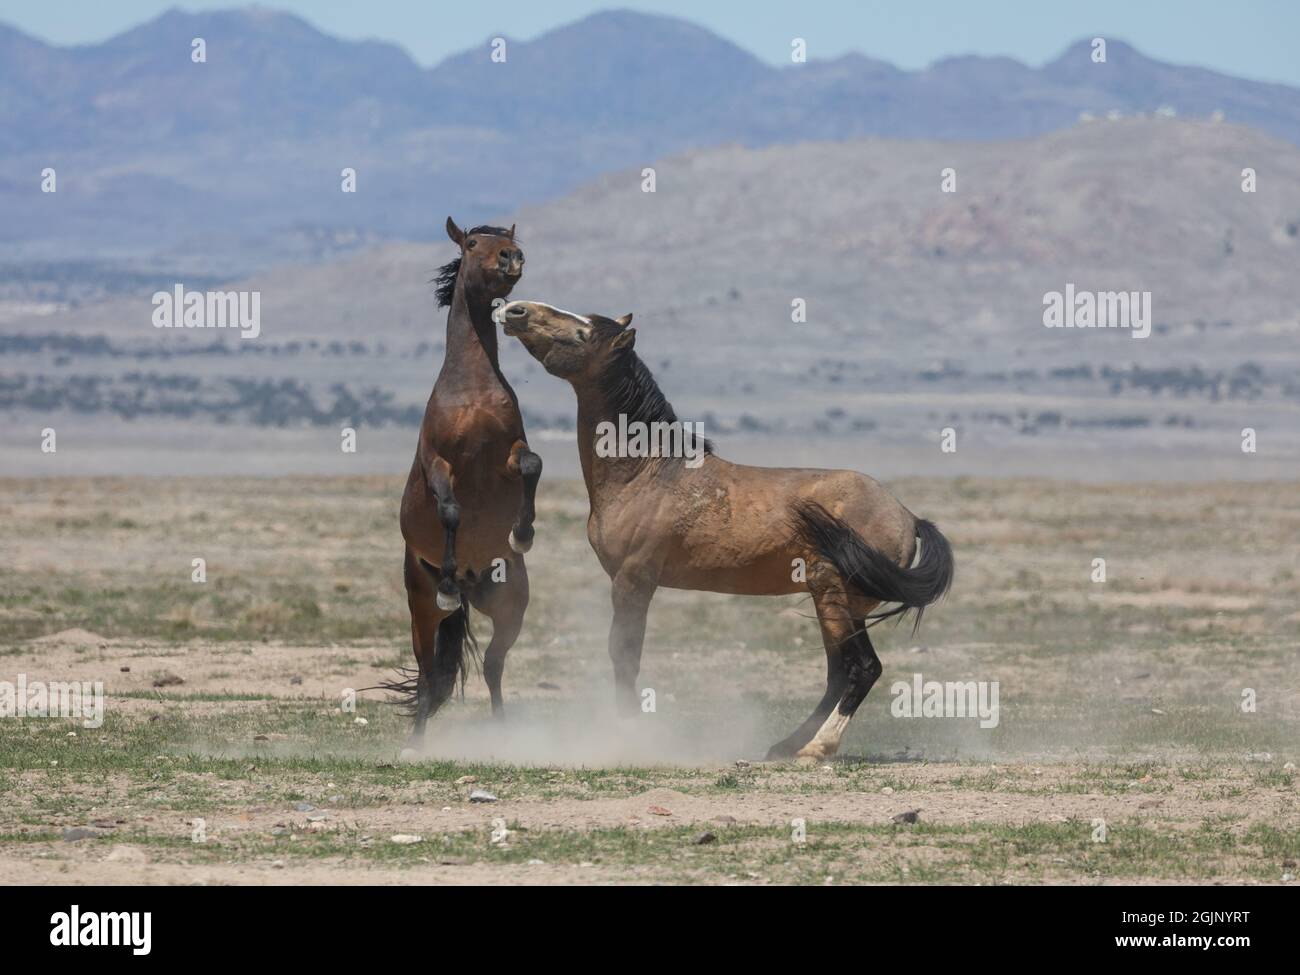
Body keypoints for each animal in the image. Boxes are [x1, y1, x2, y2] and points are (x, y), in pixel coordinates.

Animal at [393, 220, 542, 742]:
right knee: (425, 671)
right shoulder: (439, 464)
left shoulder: (511, 453)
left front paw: (522, 532)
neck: (472, 388)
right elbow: (451, 510)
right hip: (421, 611)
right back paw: (415, 741)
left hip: (510, 606)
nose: (511, 258)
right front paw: (447, 579)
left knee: (494, 665)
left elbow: (533, 466)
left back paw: (501, 732)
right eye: (473, 243)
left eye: (509, 242)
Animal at [493, 300, 953, 761]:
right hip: (838, 604)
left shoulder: (632, 581)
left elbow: (624, 656)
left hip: (834, 596)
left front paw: (626, 737)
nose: (515, 310)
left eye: (583, 333)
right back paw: (785, 746)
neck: (645, 471)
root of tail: (908, 517)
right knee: (838, 672)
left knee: (862, 667)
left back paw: (816, 748)